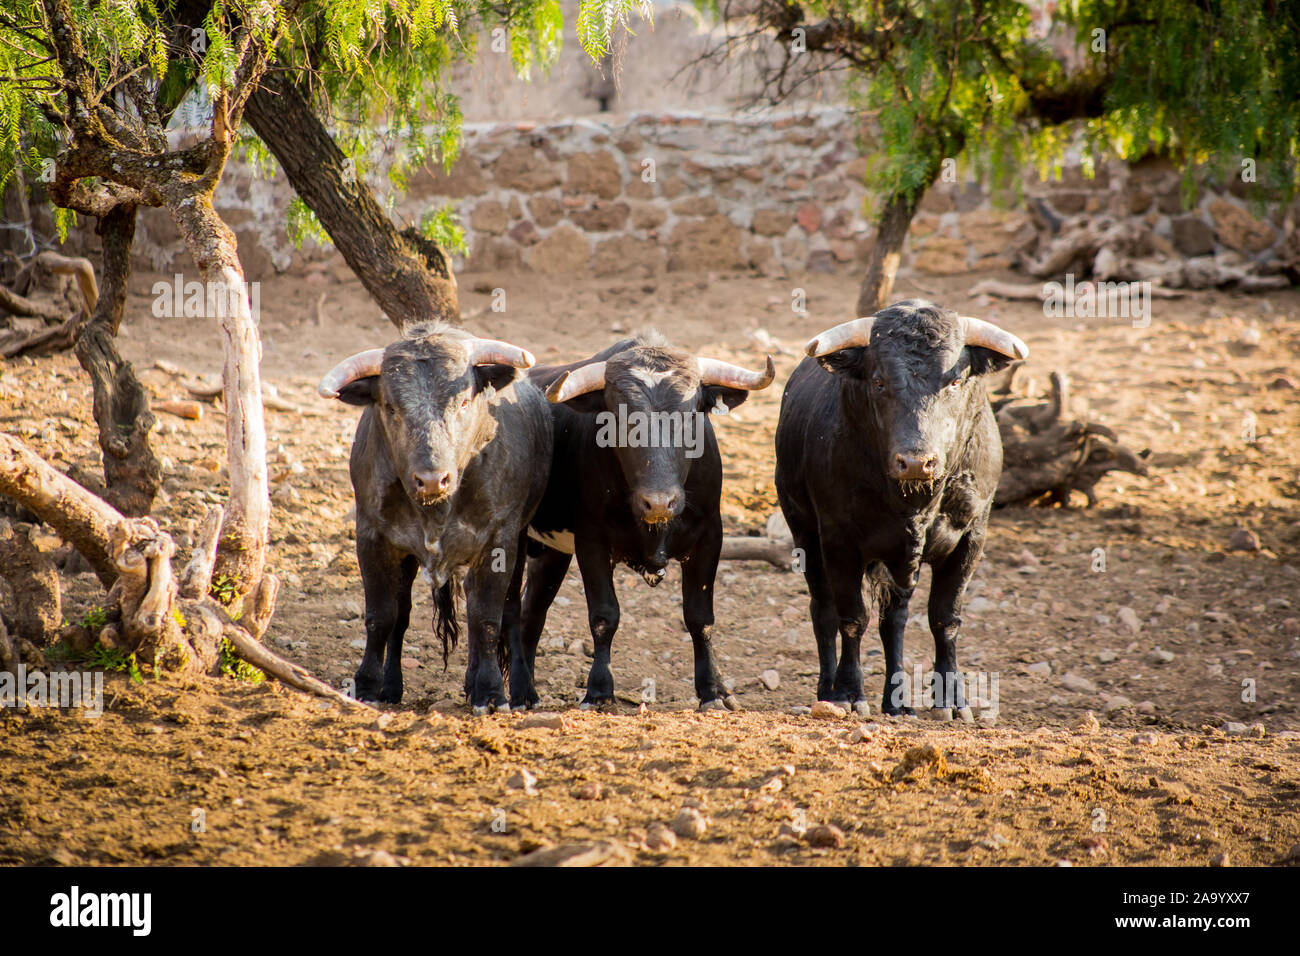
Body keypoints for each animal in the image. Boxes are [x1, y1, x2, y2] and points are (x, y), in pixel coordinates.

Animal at [317, 323, 552, 713]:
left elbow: (487, 617)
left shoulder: (499, 540)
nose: (431, 479)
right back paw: (392, 685)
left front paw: (491, 693)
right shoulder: (372, 536)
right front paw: (367, 684)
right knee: (402, 613)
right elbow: (381, 615)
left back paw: (517, 690)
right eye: (391, 407)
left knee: (505, 612)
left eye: (463, 402)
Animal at [507, 334, 775, 711]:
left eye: (691, 416)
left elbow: (700, 618)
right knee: (511, 613)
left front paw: (711, 690)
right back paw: (518, 692)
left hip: (550, 551)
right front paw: (599, 690)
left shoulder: (710, 538)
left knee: (531, 614)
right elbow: (604, 616)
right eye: (618, 420)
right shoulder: (591, 542)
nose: (659, 502)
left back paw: (529, 691)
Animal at [774, 300, 1028, 716]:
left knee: (894, 619)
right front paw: (848, 692)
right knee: (823, 610)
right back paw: (827, 688)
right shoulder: (838, 540)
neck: (913, 503)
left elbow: (944, 618)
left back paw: (897, 702)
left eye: (954, 381)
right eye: (879, 382)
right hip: (804, 532)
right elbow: (852, 617)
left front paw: (952, 697)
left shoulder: (971, 536)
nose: (915, 461)